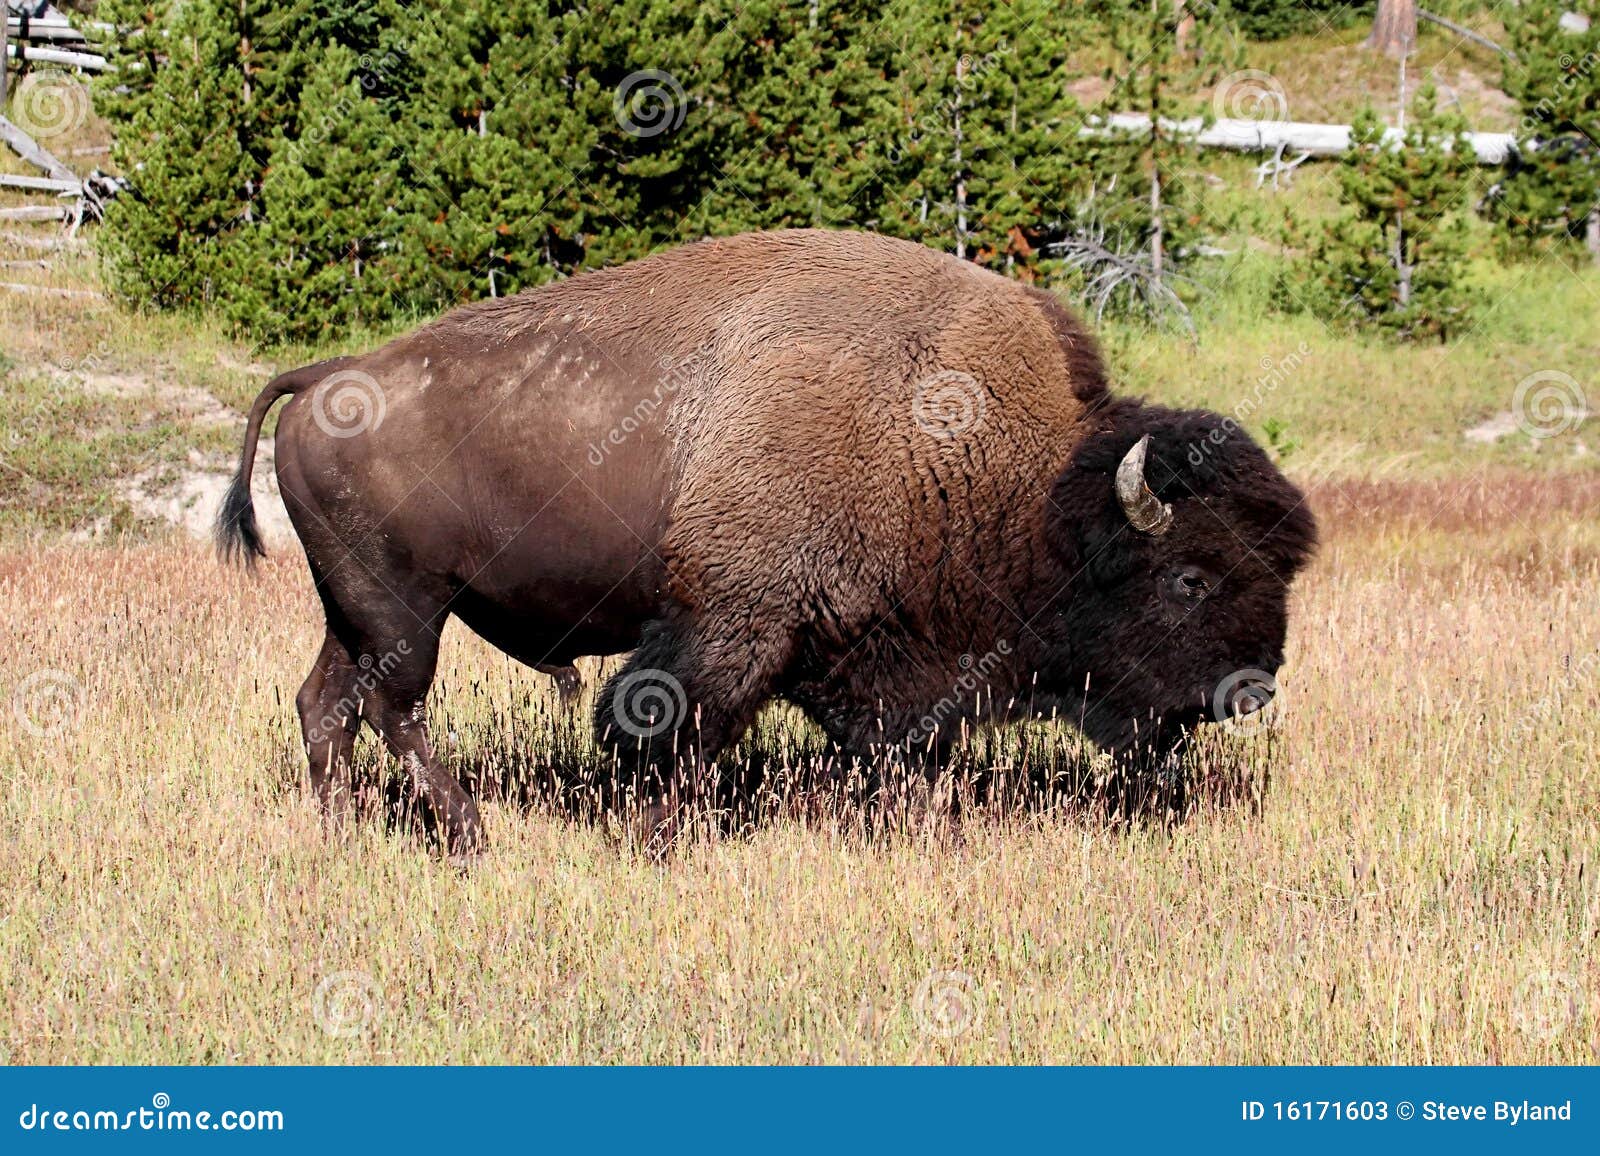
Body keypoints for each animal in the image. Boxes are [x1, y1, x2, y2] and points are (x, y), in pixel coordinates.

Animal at [219, 229, 1316, 855]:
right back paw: (468, 835)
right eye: (1187, 577)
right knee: (394, 709)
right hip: (407, 609)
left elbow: (883, 745)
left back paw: (340, 830)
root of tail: (322, 378)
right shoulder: (730, 623)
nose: (1252, 688)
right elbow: (671, 726)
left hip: (357, 609)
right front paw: (668, 839)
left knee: (328, 704)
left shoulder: (860, 649)